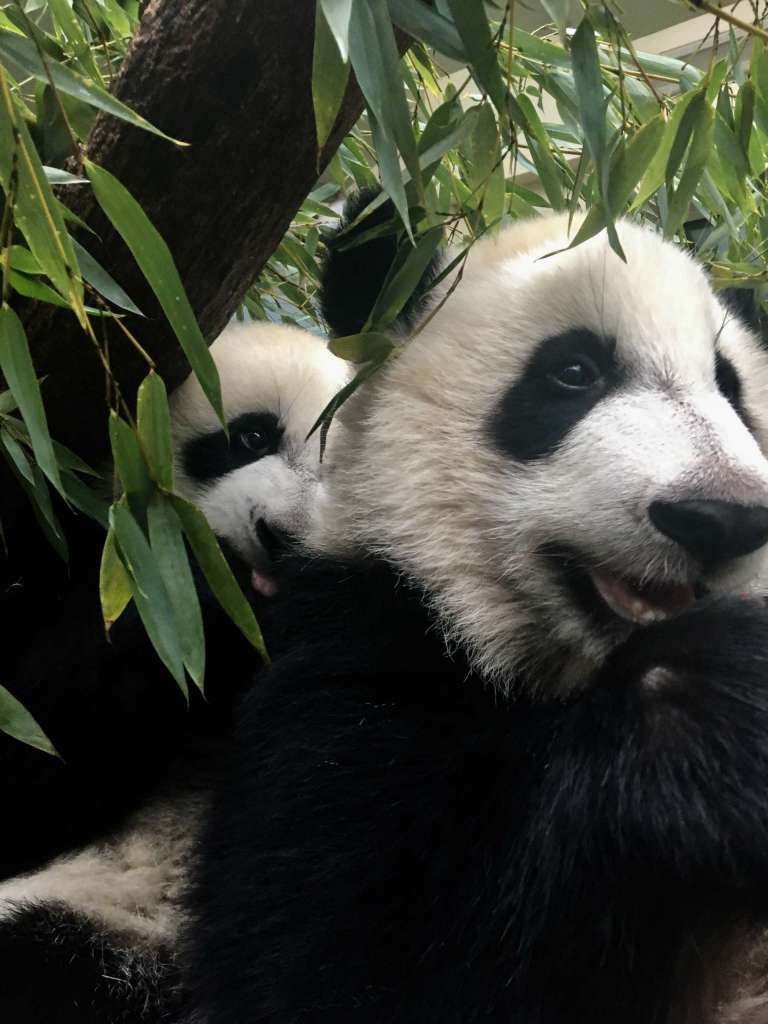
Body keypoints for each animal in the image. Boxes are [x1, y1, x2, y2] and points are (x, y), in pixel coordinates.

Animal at [182, 209, 768, 1024]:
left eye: (731, 387)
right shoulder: (366, 650)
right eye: (573, 372)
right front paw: (721, 694)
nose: (722, 517)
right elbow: (322, 965)